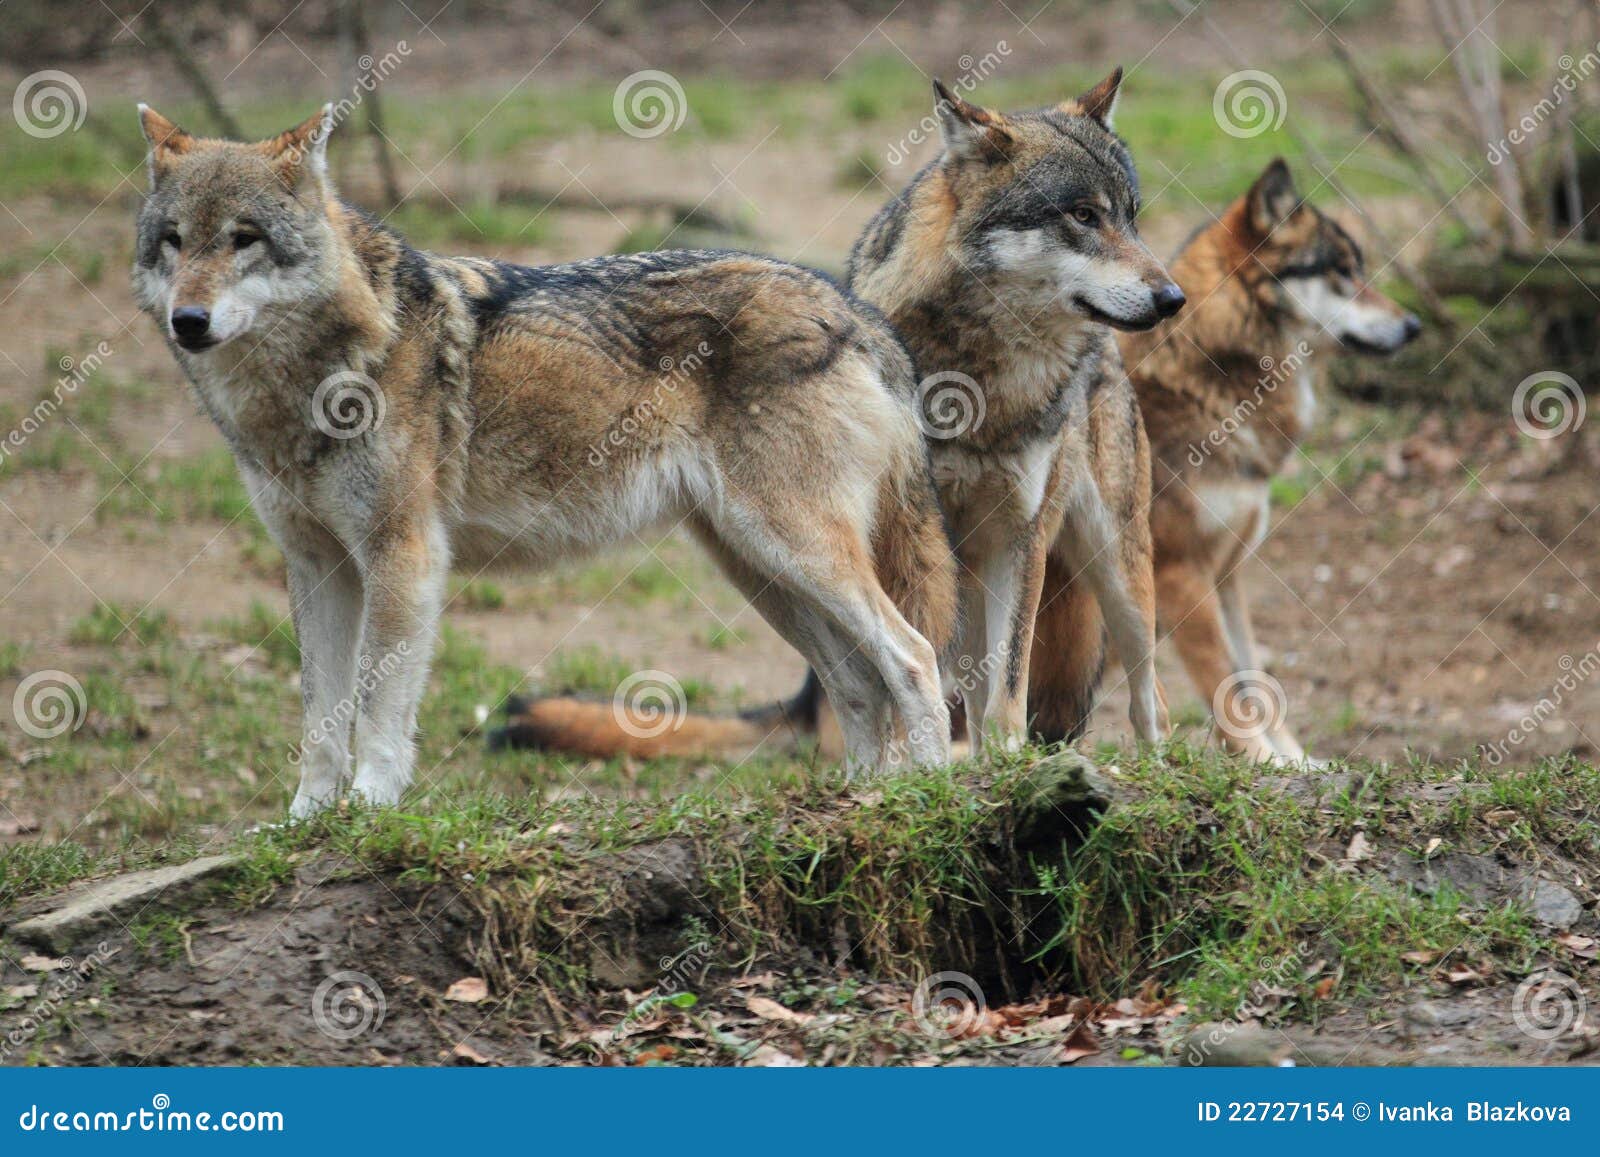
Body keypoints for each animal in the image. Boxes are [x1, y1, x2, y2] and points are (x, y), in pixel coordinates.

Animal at [132, 104, 955, 816]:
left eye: (244, 238)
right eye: (174, 240)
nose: (188, 321)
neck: (312, 381)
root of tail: (857, 311)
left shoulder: (404, 554)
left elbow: (377, 707)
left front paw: (368, 807)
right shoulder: (315, 565)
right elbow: (318, 721)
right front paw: (303, 823)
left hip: (795, 553)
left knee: (913, 657)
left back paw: (928, 793)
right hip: (761, 571)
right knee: (860, 685)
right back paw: (859, 801)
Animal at [497, 69, 1179, 761]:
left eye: (1131, 217)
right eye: (1084, 215)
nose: (1171, 298)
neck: (981, 378)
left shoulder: (1021, 531)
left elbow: (1006, 691)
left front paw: (998, 765)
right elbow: (921, 676)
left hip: (1115, 567)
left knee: (1151, 695)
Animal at [1101, 158, 1421, 763]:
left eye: (1360, 267)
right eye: (1341, 270)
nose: (1415, 325)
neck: (1212, 385)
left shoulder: (1228, 573)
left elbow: (1252, 678)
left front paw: (1294, 762)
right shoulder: (1180, 573)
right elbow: (1224, 685)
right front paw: (1260, 761)